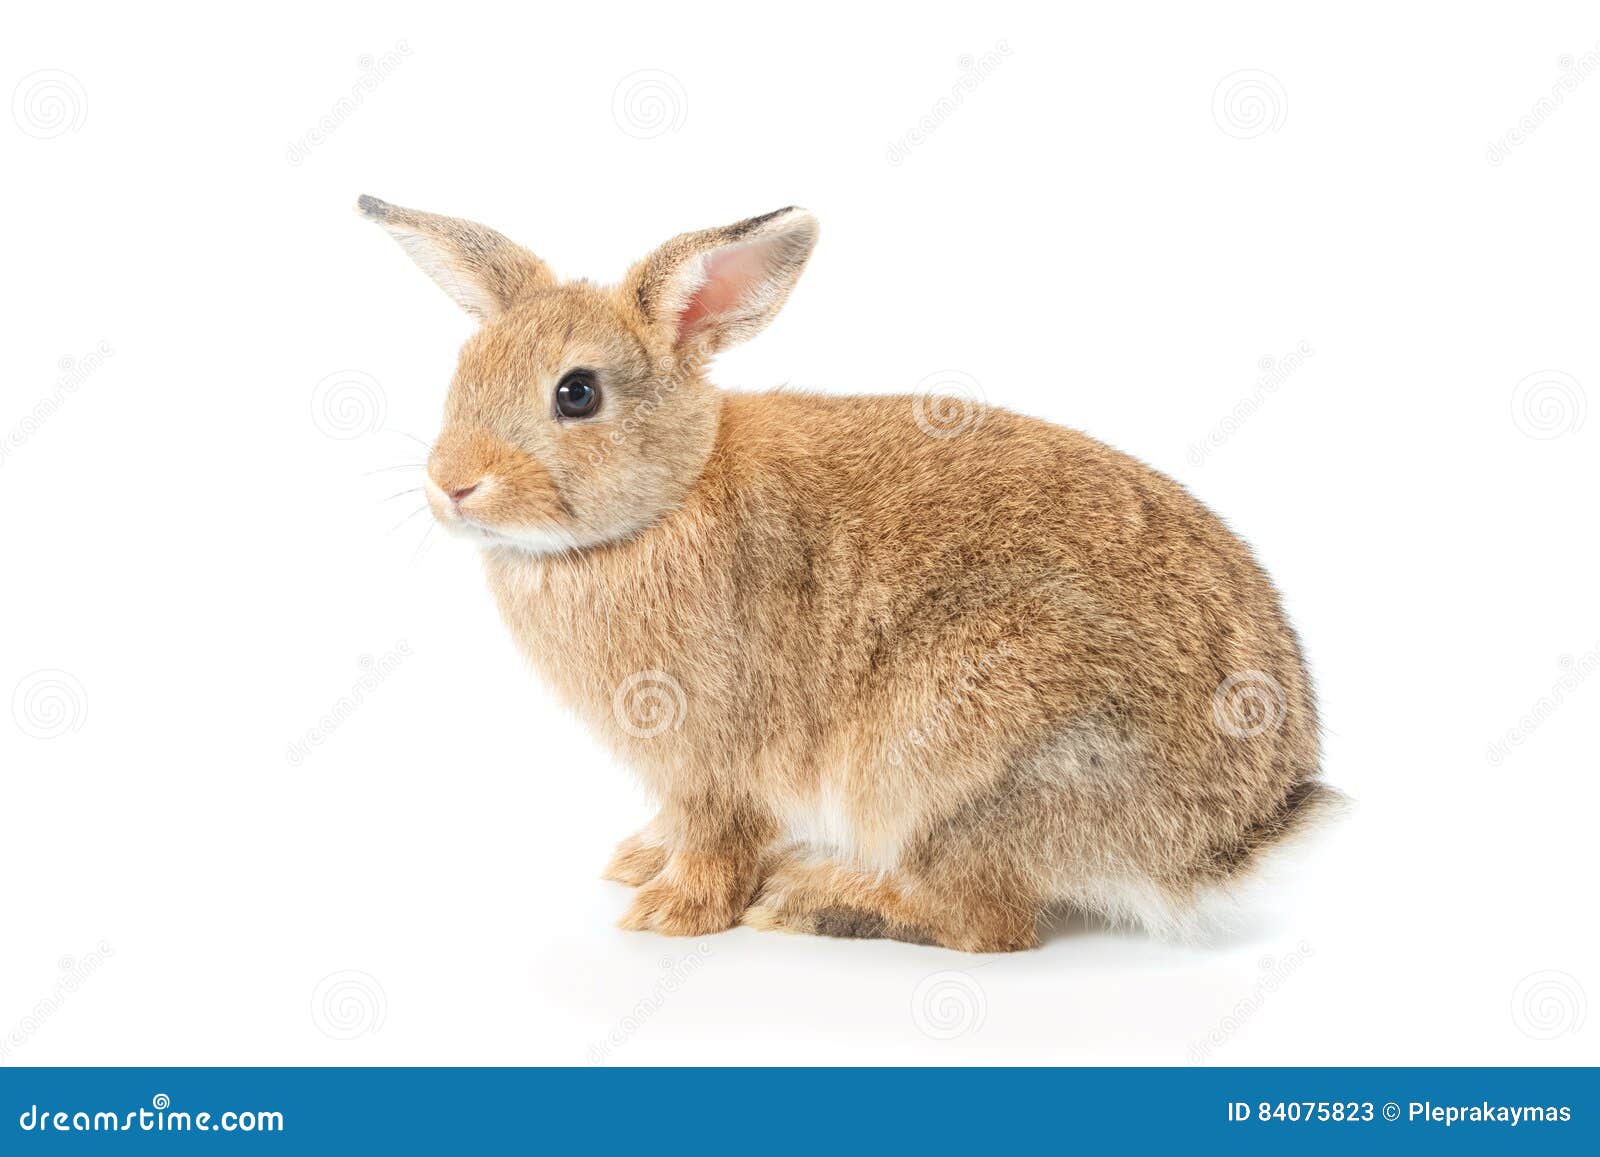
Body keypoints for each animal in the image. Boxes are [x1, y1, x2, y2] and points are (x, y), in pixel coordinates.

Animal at [357, 194, 1340, 952]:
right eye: (462, 371)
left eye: (577, 393)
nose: (450, 485)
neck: (665, 503)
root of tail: (1227, 839)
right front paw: (640, 859)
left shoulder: (712, 752)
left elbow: (716, 834)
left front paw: (671, 912)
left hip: (952, 755)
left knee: (987, 922)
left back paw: (813, 898)